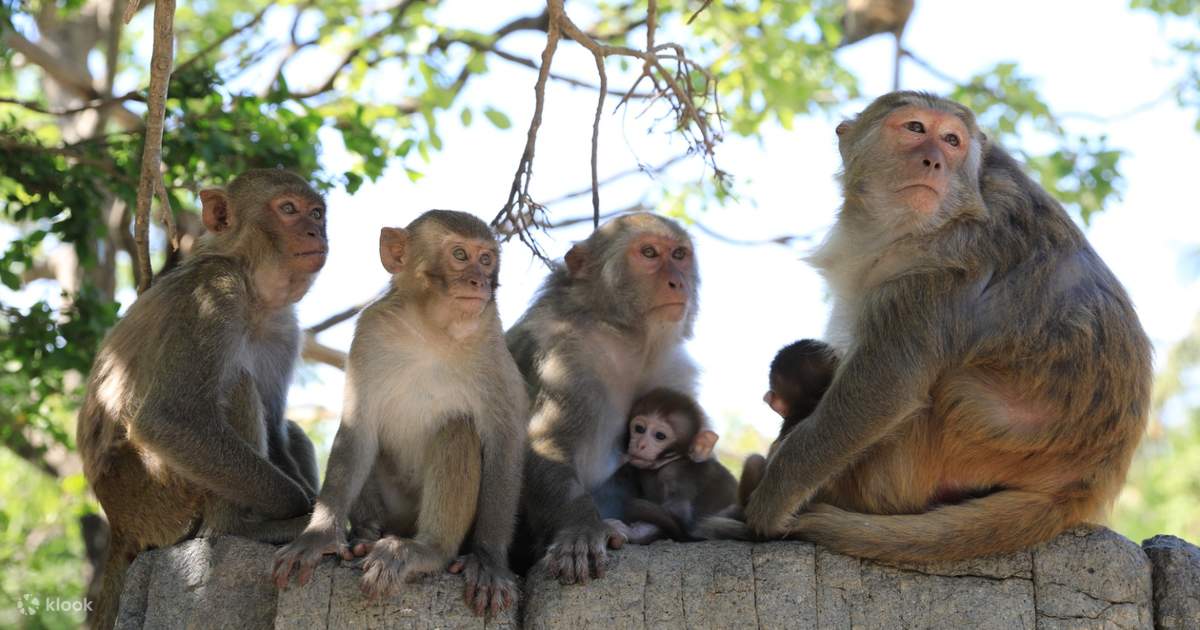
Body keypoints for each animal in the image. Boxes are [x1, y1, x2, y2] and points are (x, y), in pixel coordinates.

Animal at [76, 168, 328, 629]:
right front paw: (306, 509)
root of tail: (119, 524)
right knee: (236, 387)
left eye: (317, 212)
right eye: (288, 209)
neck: (251, 289)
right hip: (160, 494)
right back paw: (239, 529)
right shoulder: (213, 295)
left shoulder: (284, 328)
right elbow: (168, 418)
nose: (315, 231)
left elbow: (277, 431)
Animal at [272, 210, 528, 616]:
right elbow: (357, 429)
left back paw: (426, 550)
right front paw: (319, 536)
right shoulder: (371, 331)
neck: (432, 331)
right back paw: (365, 535)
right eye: (459, 254)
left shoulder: (492, 349)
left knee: (457, 427)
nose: (479, 281)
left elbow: (504, 442)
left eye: (486, 259)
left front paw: (488, 561)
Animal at [506, 212, 703, 584]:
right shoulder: (569, 357)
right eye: (650, 253)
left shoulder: (673, 371)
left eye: (679, 255)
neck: (628, 339)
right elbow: (547, 443)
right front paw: (580, 529)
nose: (677, 282)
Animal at [605, 388, 738, 544]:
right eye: (639, 428)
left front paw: (629, 532)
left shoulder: (676, 474)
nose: (640, 445)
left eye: (660, 436)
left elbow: (677, 517)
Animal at [743, 91, 1152, 563]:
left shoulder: (949, 267)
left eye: (951, 140)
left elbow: (886, 387)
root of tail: (1085, 485)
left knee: (946, 393)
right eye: (915, 128)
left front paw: (773, 497)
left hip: (931, 458)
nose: (933, 161)